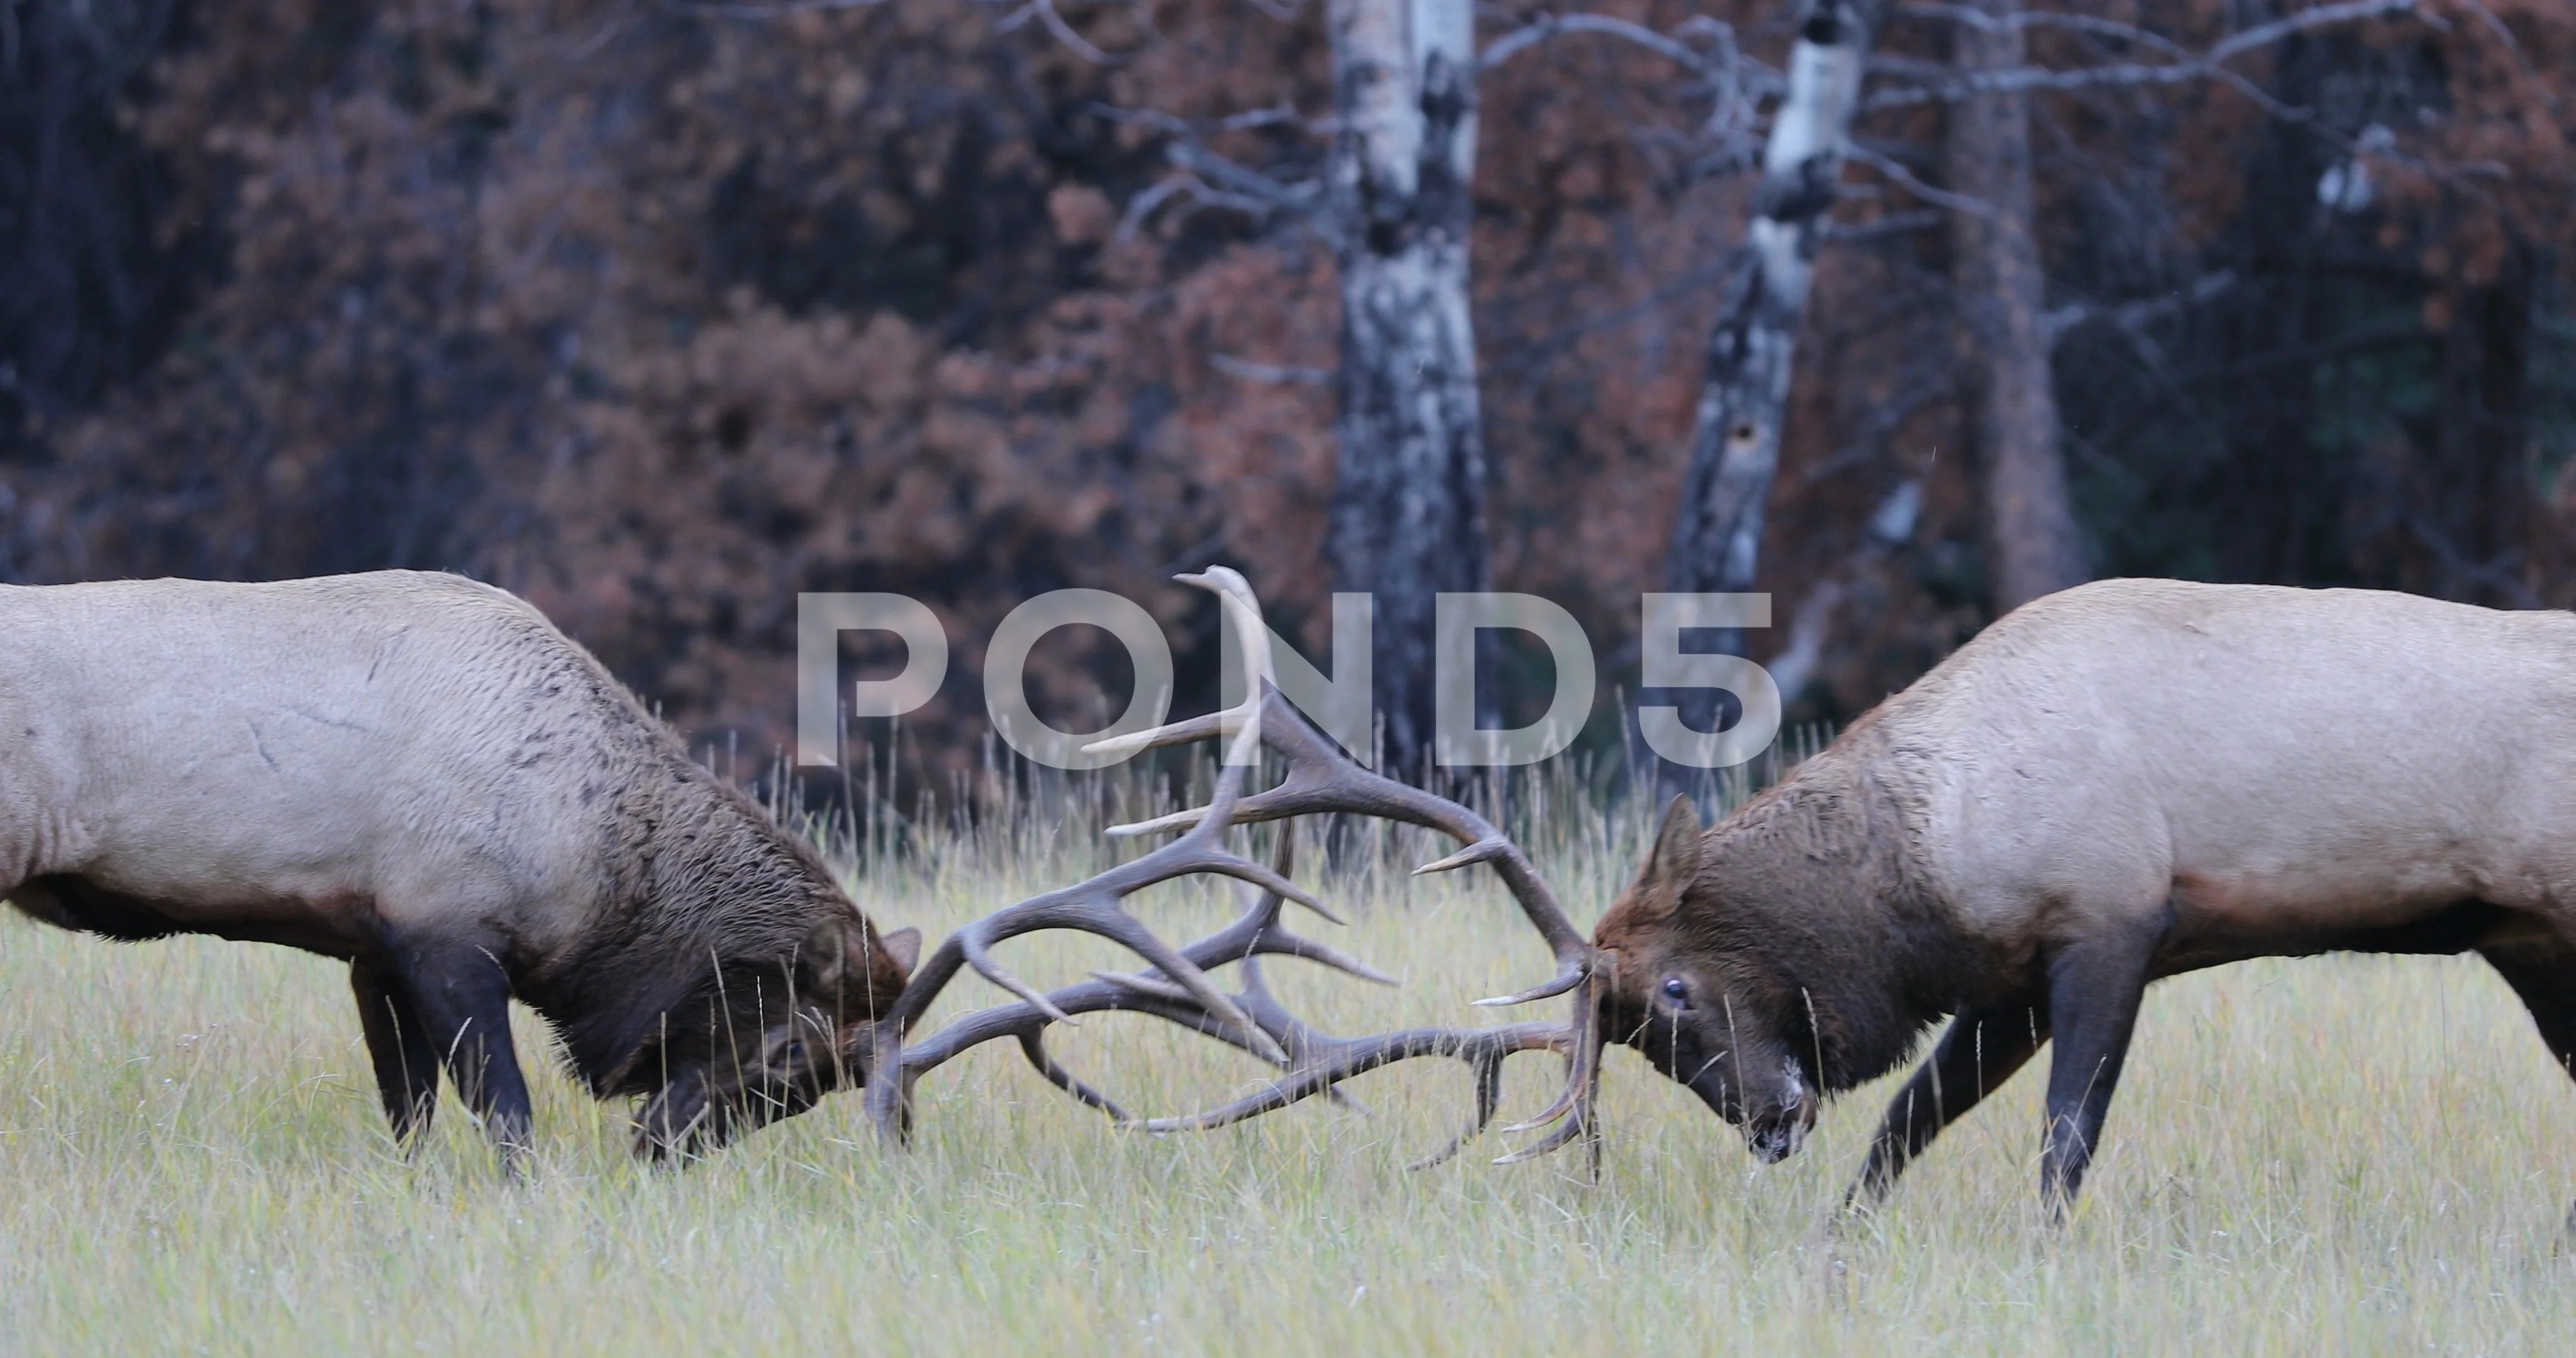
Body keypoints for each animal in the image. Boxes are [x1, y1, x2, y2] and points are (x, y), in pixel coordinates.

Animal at [0, 571, 919, 1168]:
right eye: (792, 1056)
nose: (663, 1152)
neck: (588, 867)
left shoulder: (372, 948)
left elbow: (410, 1113)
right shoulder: (443, 932)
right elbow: (505, 1110)